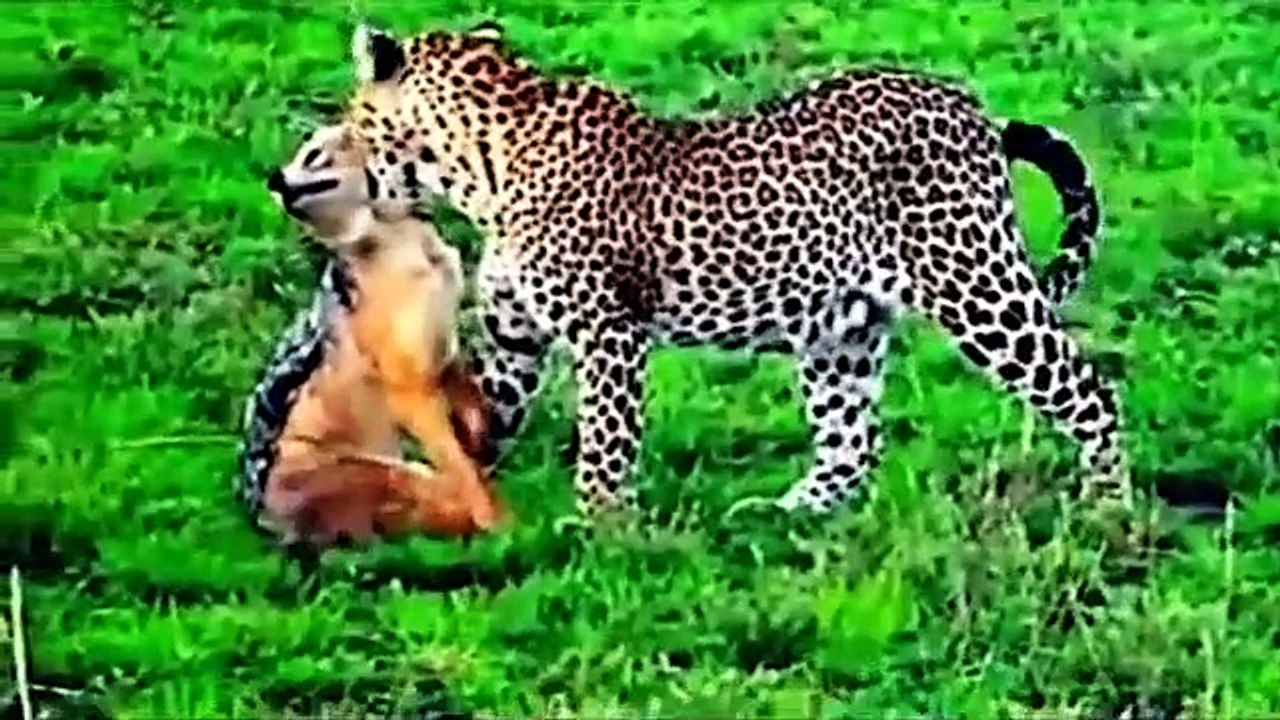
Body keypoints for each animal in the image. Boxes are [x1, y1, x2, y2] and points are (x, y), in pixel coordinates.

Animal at [333, 21, 1133, 520]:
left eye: (353, 115)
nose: (334, 141)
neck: (480, 172)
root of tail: (970, 106)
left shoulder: (609, 334)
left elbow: (605, 444)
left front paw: (601, 532)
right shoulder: (514, 339)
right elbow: (482, 420)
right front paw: (455, 496)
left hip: (977, 285)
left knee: (1090, 389)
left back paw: (1109, 508)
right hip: (842, 331)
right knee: (851, 442)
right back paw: (784, 517)